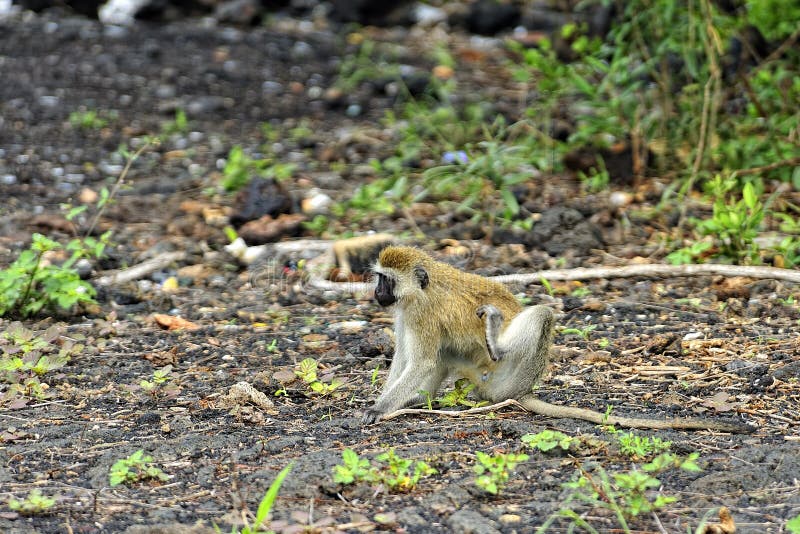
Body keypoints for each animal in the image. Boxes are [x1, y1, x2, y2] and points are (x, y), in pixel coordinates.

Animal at [364, 246, 754, 434]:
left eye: (386, 280)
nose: (377, 294)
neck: (420, 290)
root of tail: (518, 391)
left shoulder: (421, 314)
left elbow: (422, 361)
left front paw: (379, 408)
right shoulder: (405, 313)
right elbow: (405, 360)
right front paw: (389, 401)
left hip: (506, 375)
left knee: (542, 315)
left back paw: (496, 339)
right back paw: (423, 399)